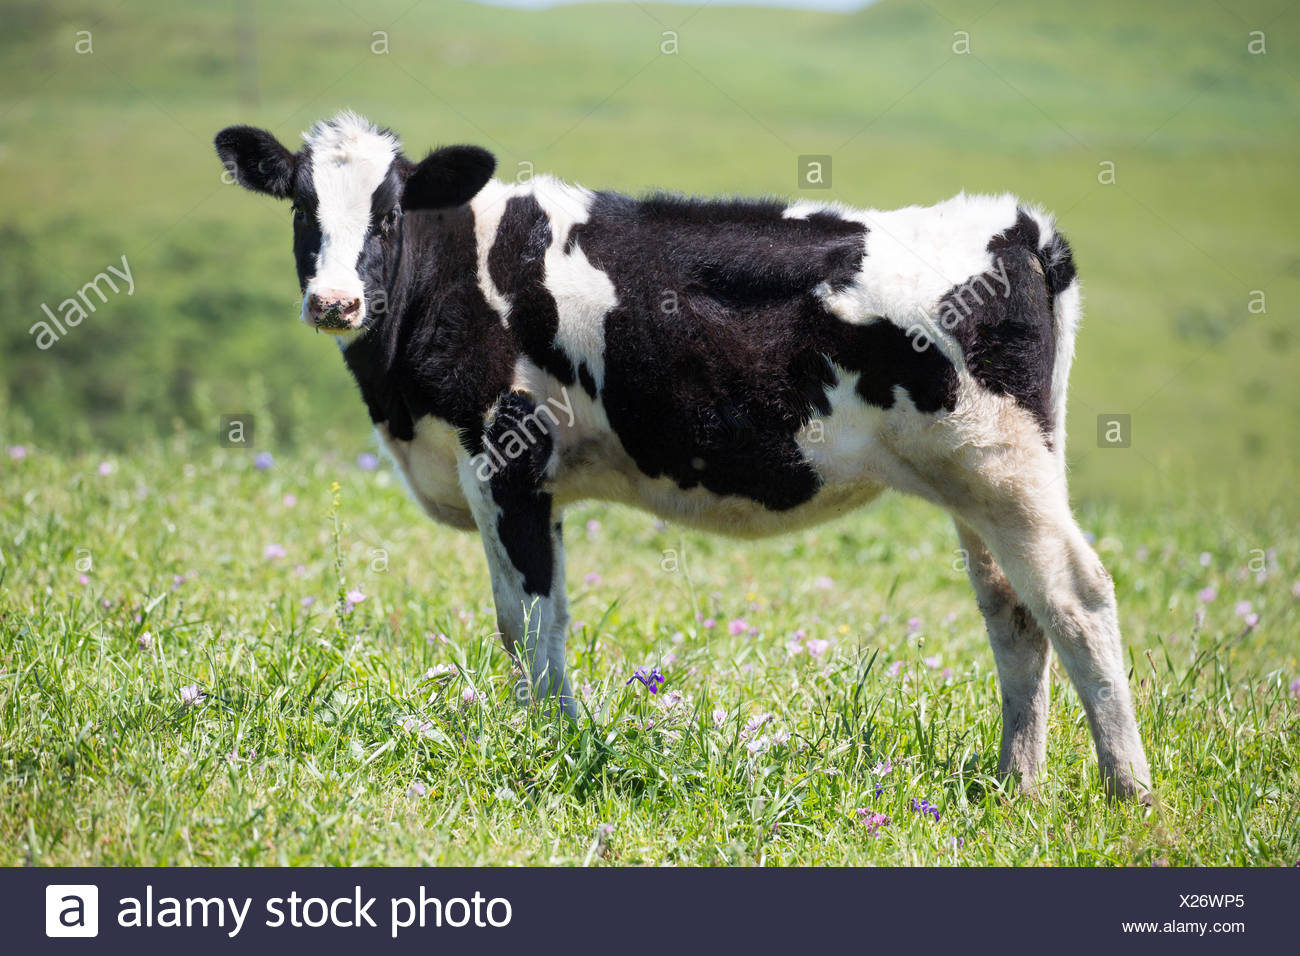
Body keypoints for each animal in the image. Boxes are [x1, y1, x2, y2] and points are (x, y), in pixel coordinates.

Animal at [214, 111, 1151, 800]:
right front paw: (563, 737)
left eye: (386, 213)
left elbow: (526, 620)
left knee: (1076, 596)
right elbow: (543, 617)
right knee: (1013, 611)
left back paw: (1127, 791)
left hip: (1004, 468)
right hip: (975, 483)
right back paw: (1015, 785)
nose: (335, 302)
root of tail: (1017, 226)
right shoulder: (533, 481)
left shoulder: (504, 453)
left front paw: (544, 743)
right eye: (301, 209)